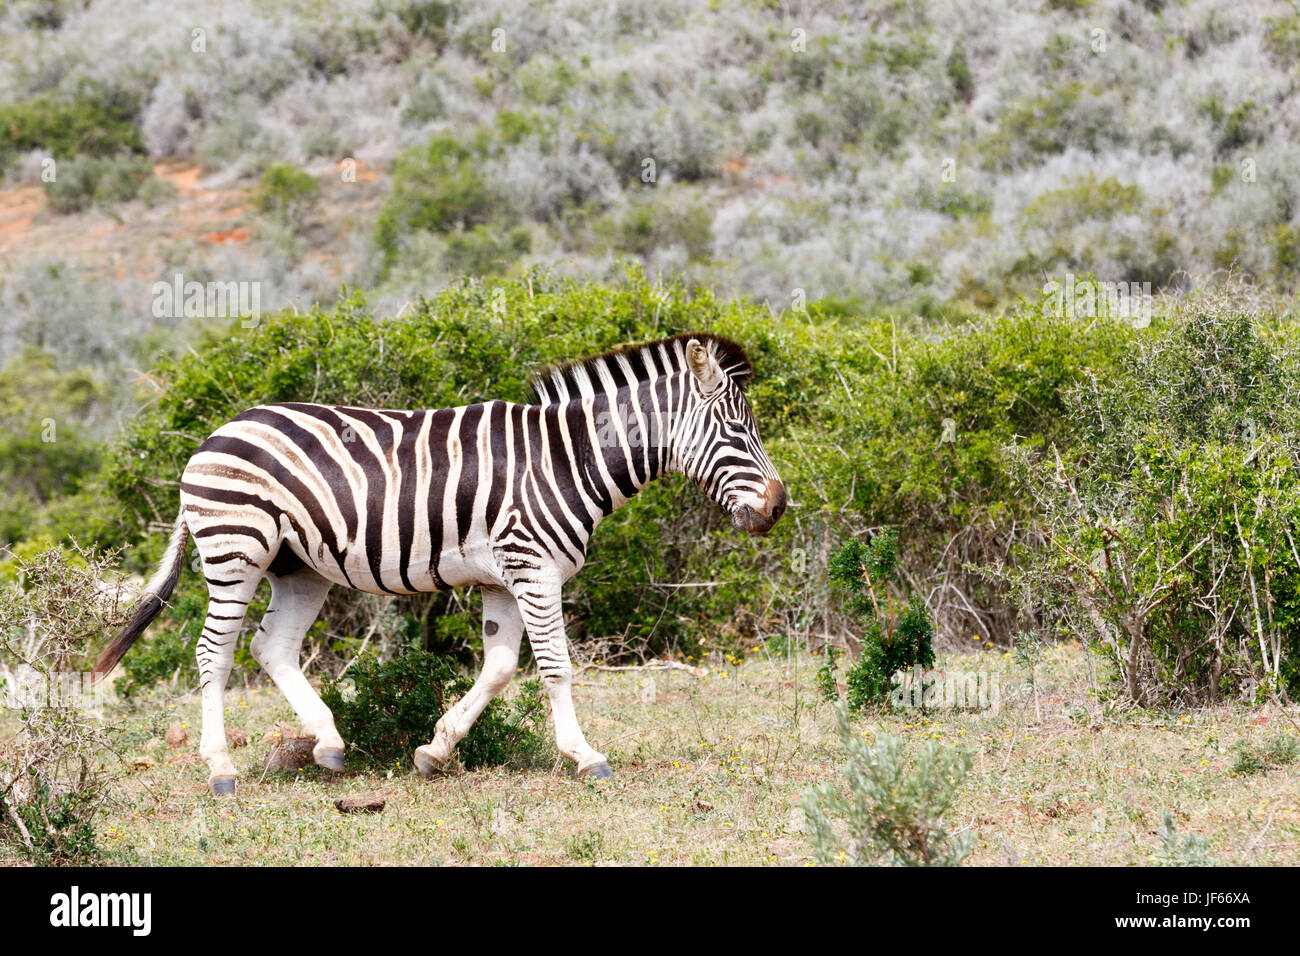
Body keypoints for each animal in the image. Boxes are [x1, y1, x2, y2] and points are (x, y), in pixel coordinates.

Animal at [96, 334, 787, 795]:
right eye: (736, 430)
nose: (778, 507)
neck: (568, 459)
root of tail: (213, 435)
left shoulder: (504, 577)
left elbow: (501, 669)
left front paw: (435, 749)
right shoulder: (532, 566)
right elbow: (556, 668)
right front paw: (585, 755)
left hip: (299, 568)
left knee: (272, 646)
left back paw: (330, 744)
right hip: (235, 548)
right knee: (214, 653)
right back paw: (221, 768)